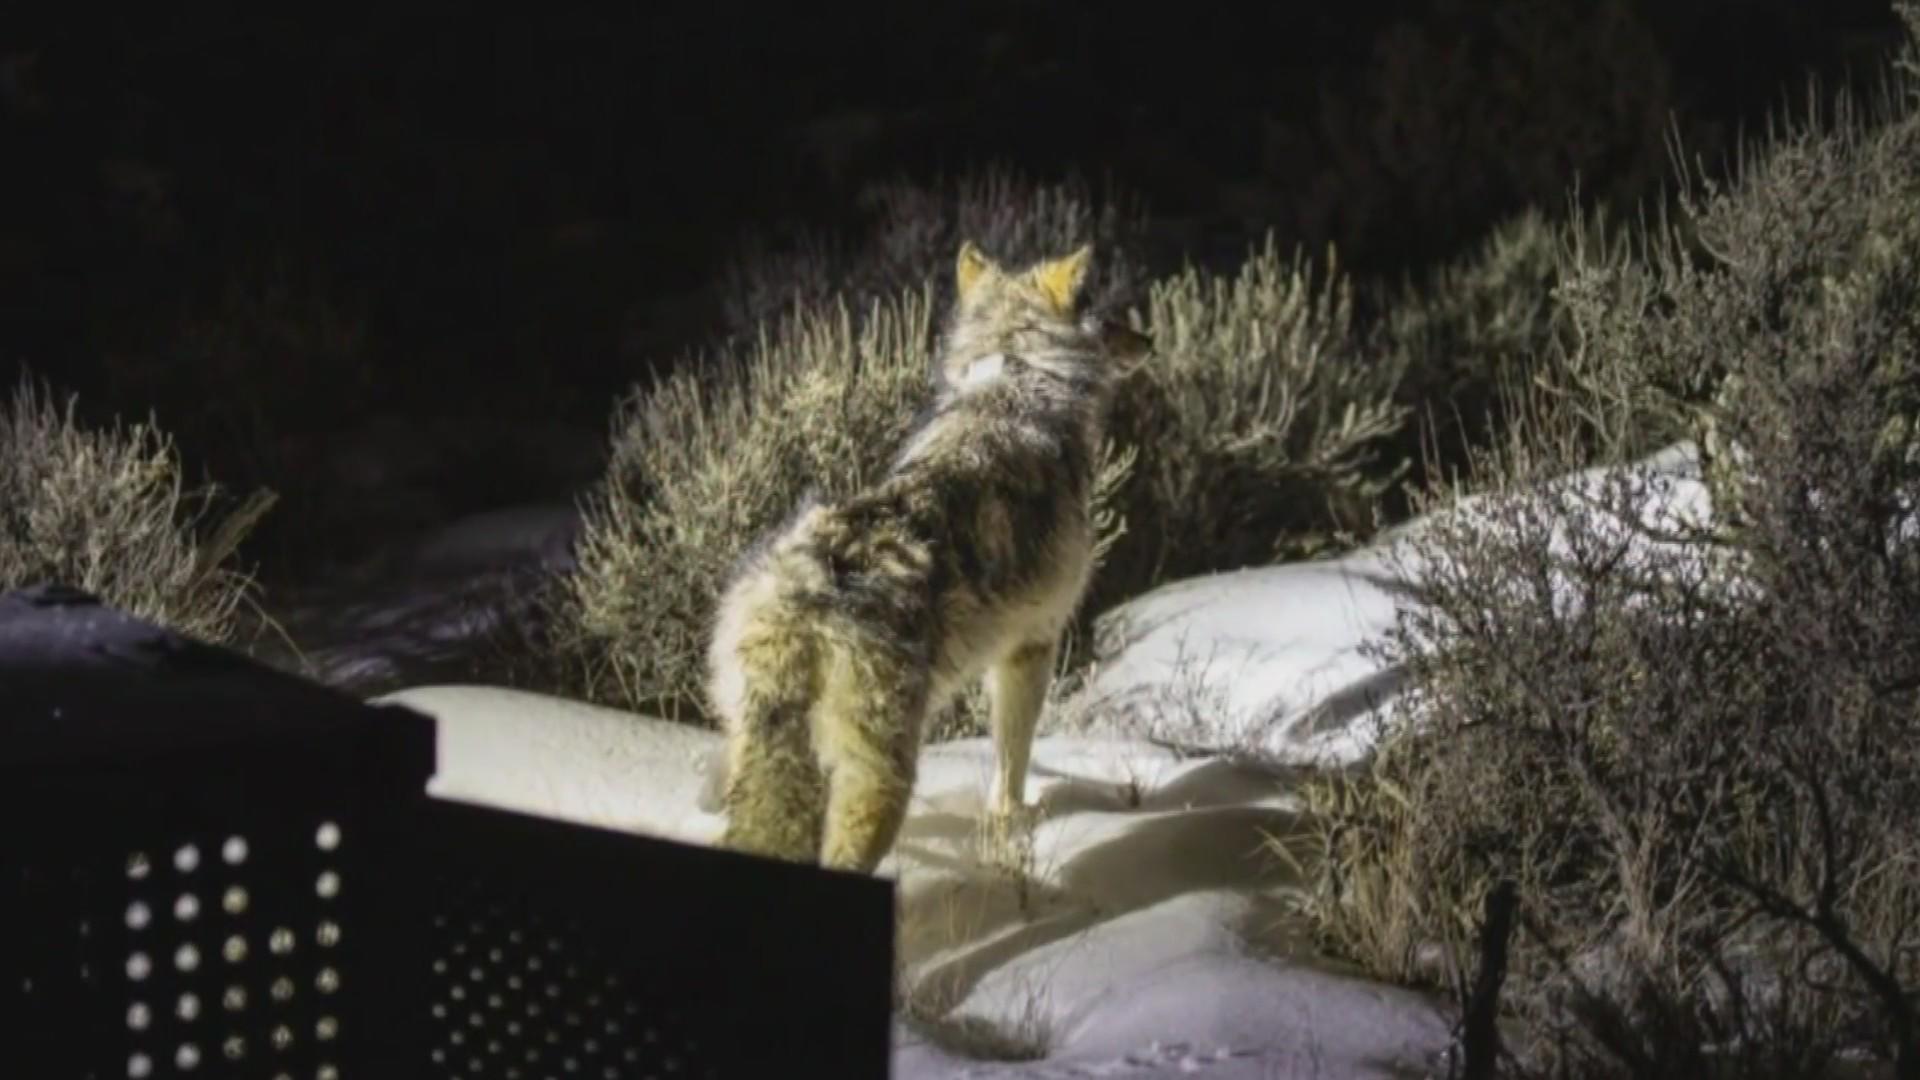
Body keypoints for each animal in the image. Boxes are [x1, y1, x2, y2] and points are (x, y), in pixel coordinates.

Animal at [703, 240, 1151, 874]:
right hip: (881, 785)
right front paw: (1014, 827)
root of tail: (797, 594)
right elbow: (1011, 764)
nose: (1149, 341)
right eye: (1105, 313)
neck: (1018, 377)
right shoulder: (1032, 647)